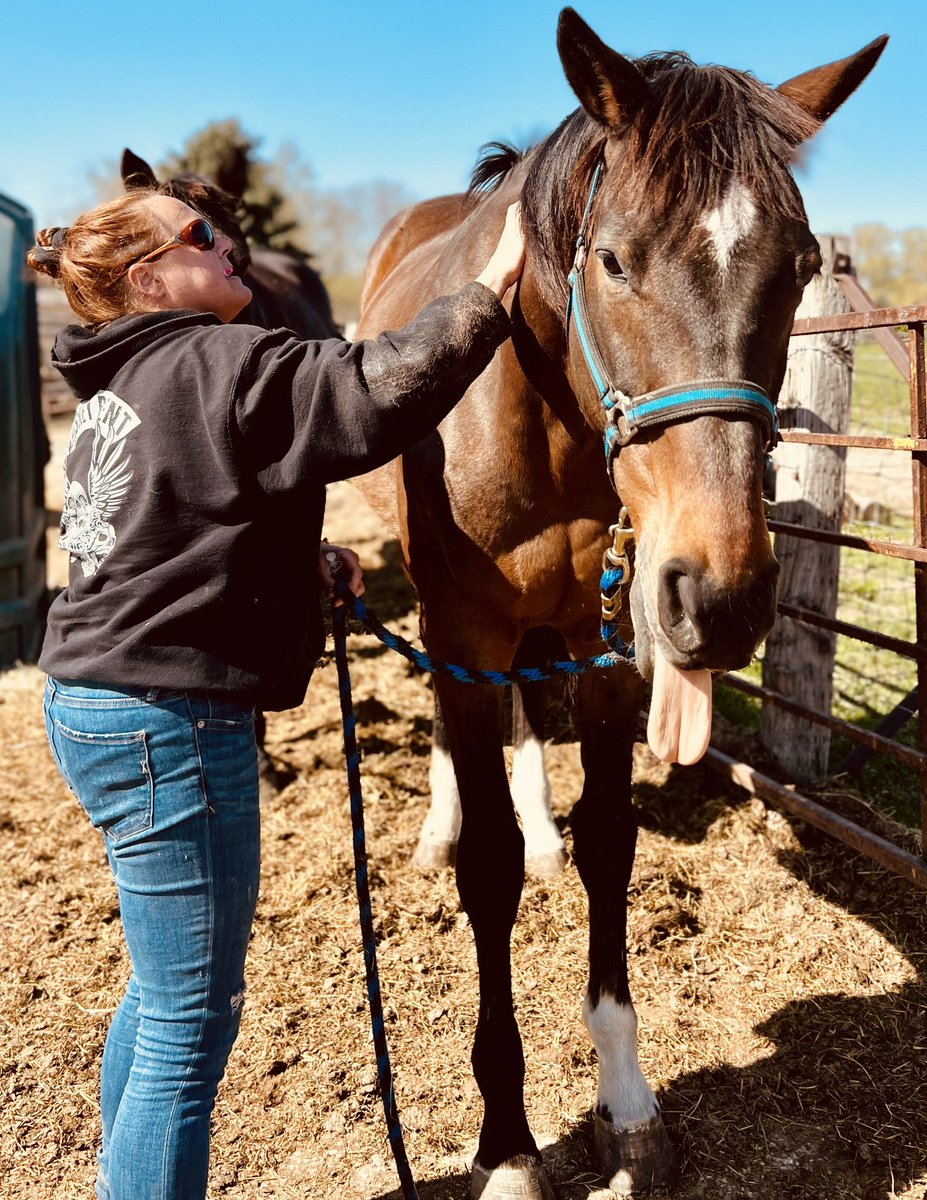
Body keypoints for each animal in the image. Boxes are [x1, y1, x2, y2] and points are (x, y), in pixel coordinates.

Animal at [353, 10, 886, 1196]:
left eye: (798, 268)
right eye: (610, 259)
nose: (723, 596)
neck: (543, 419)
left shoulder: (603, 652)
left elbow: (609, 844)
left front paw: (627, 1101)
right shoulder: (468, 628)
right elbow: (490, 874)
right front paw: (508, 1146)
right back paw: (446, 825)